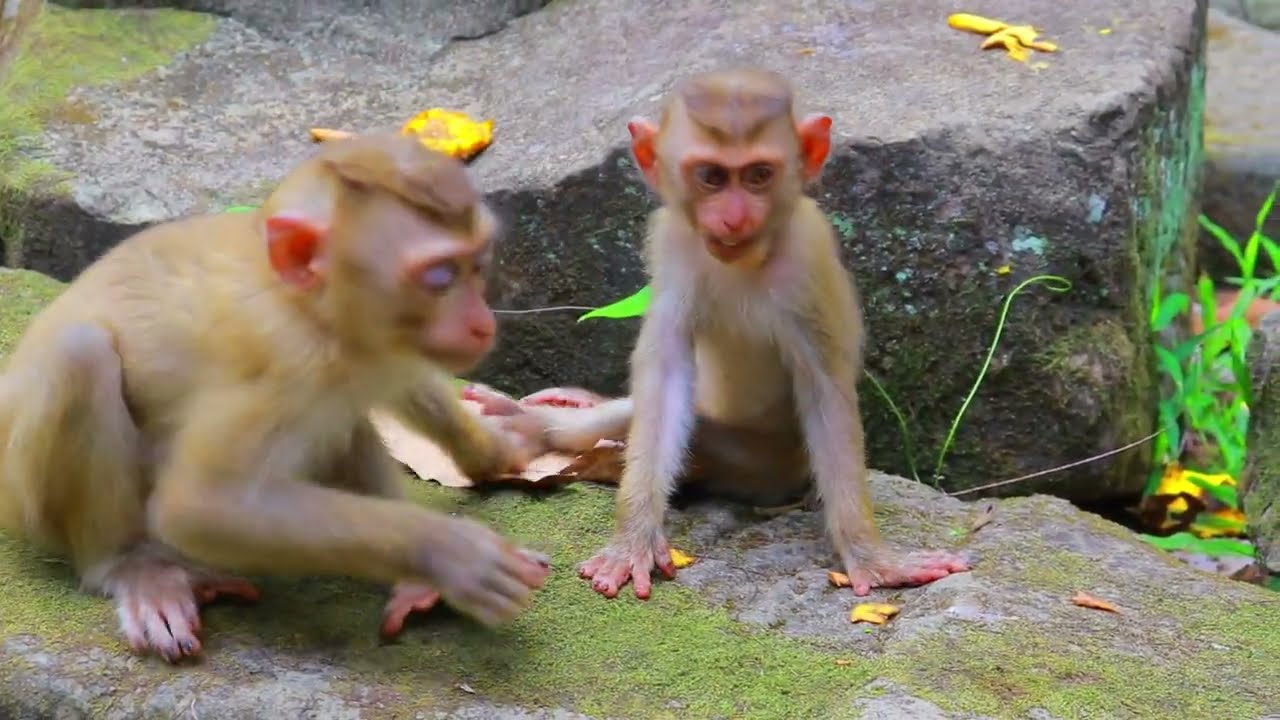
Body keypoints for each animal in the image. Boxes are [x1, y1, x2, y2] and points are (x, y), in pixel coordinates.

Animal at [0, 132, 551, 662]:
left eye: (478, 265)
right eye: (440, 277)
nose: (483, 324)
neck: (310, 311)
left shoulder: (375, 352)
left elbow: (405, 383)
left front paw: (498, 448)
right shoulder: (282, 365)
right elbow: (197, 505)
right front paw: (453, 554)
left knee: (342, 419)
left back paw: (412, 586)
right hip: (24, 491)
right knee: (80, 353)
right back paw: (132, 566)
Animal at [479, 69, 972, 600]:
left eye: (758, 175)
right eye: (712, 177)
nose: (735, 217)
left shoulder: (807, 258)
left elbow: (825, 394)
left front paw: (872, 558)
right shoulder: (672, 244)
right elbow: (665, 375)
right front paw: (633, 539)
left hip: (762, 468)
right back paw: (535, 426)